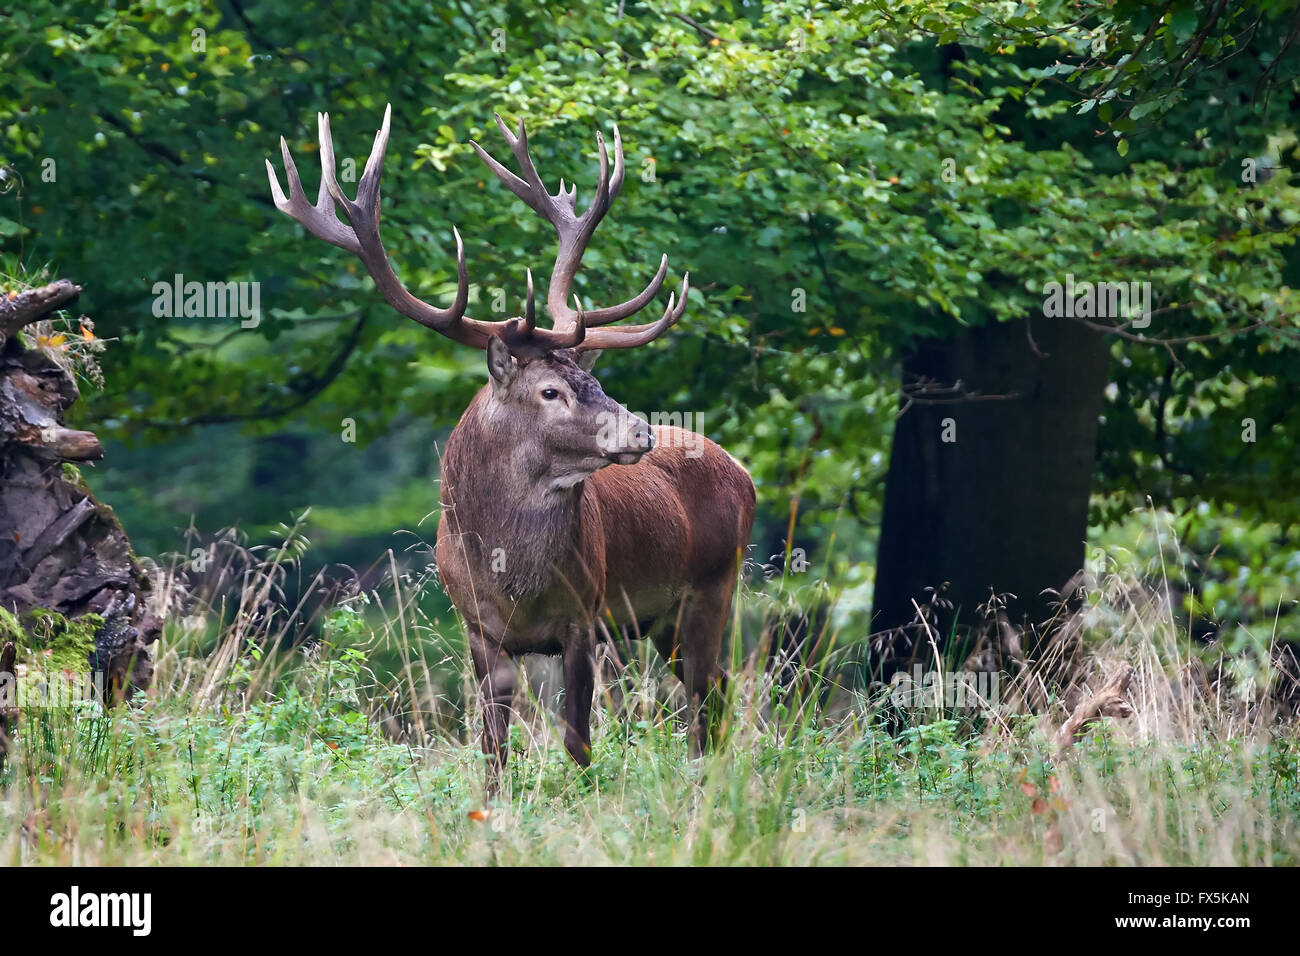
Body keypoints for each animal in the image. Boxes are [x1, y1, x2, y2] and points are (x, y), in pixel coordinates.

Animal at [267, 104, 755, 789]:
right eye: (551, 390)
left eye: (593, 379)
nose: (642, 431)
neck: (513, 577)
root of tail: (744, 472)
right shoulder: (478, 628)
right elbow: (492, 746)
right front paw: (493, 803)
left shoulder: (584, 617)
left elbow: (577, 741)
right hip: (667, 621)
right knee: (712, 687)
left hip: (714, 586)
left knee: (708, 692)